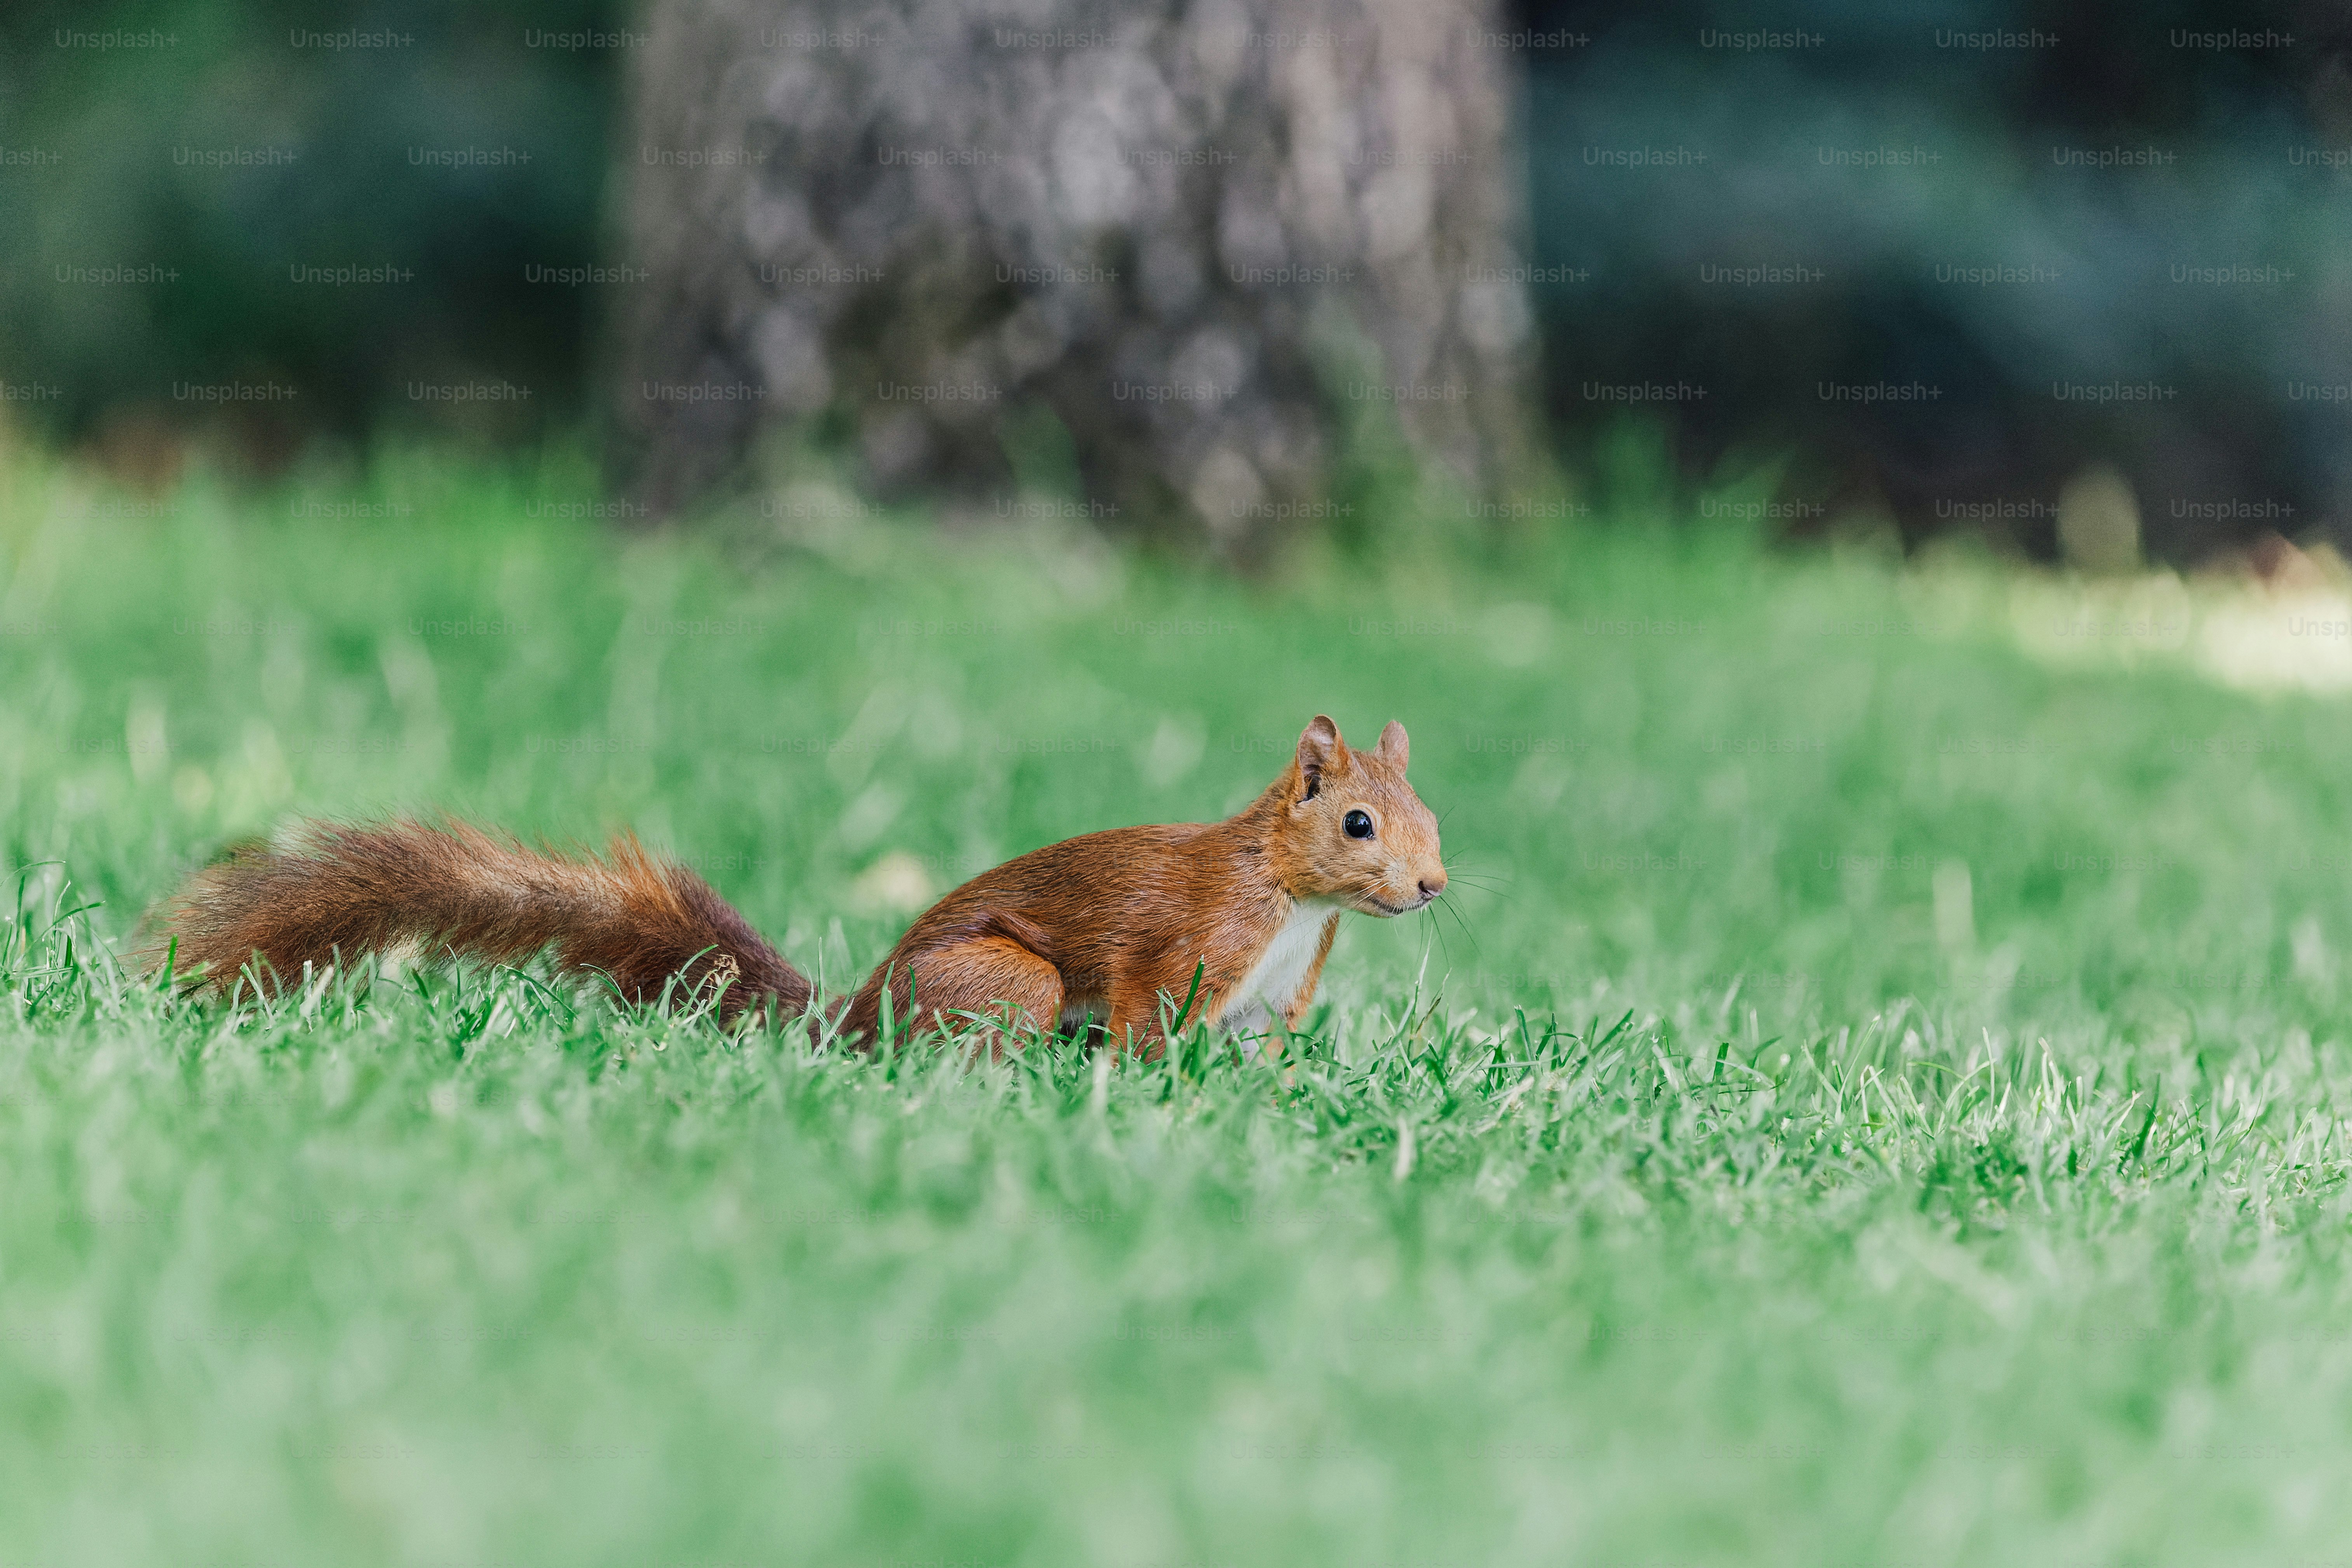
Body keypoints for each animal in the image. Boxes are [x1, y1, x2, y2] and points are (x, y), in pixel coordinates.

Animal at [147, 714, 1446, 1051]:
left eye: (1433, 820)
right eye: (1356, 821)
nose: (1431, 885)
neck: (1292, 901)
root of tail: (853, 1013)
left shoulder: (1274, 995)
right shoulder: (1182, 944)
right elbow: (1141, 1010)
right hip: (1006, 982)